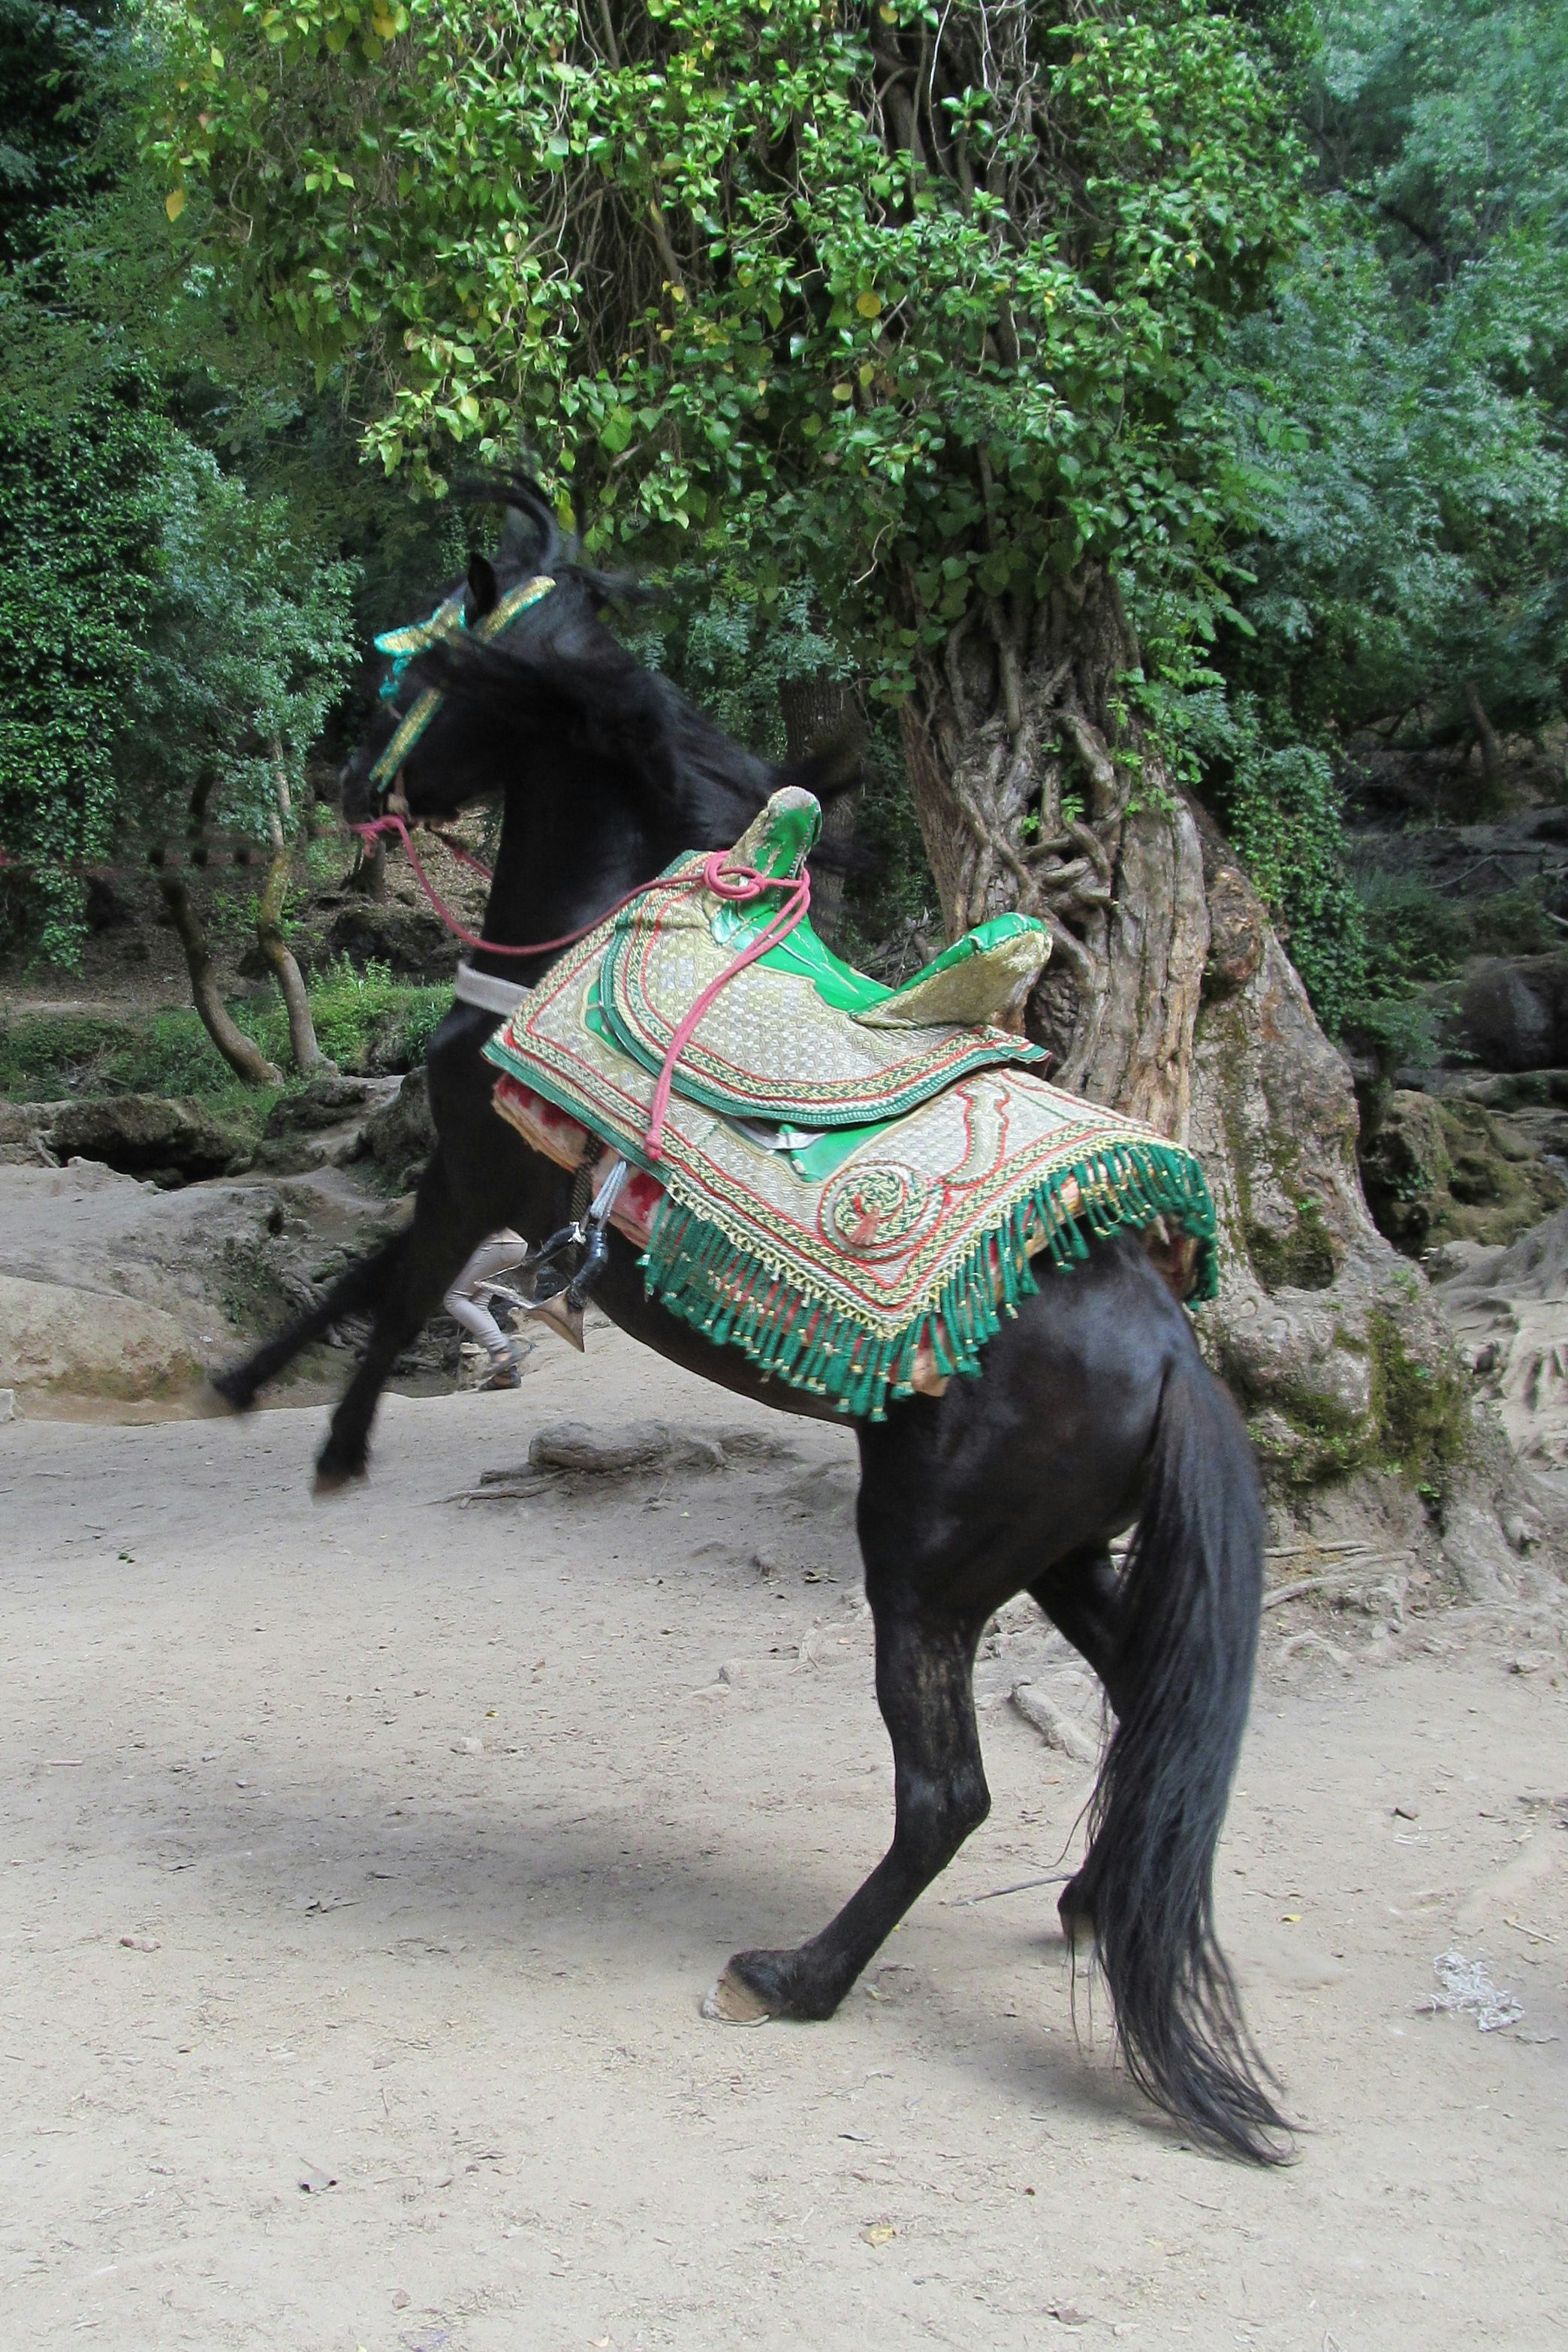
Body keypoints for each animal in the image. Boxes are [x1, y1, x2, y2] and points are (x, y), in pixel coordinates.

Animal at [212, 480, 1287, 2162]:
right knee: (1140, 1707)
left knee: (947, 1798)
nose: (348, 781)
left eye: (417, 671)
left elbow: (374, 1291)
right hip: (1053, 1560)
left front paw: (303, 1417)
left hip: (926, 1569)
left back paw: (793, 1977)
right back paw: (1089, 1903)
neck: (592, 918)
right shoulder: (476, 1189)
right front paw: (285, 1398)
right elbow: (386, 1290)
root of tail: (1172, 1349)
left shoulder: (472, 1176)